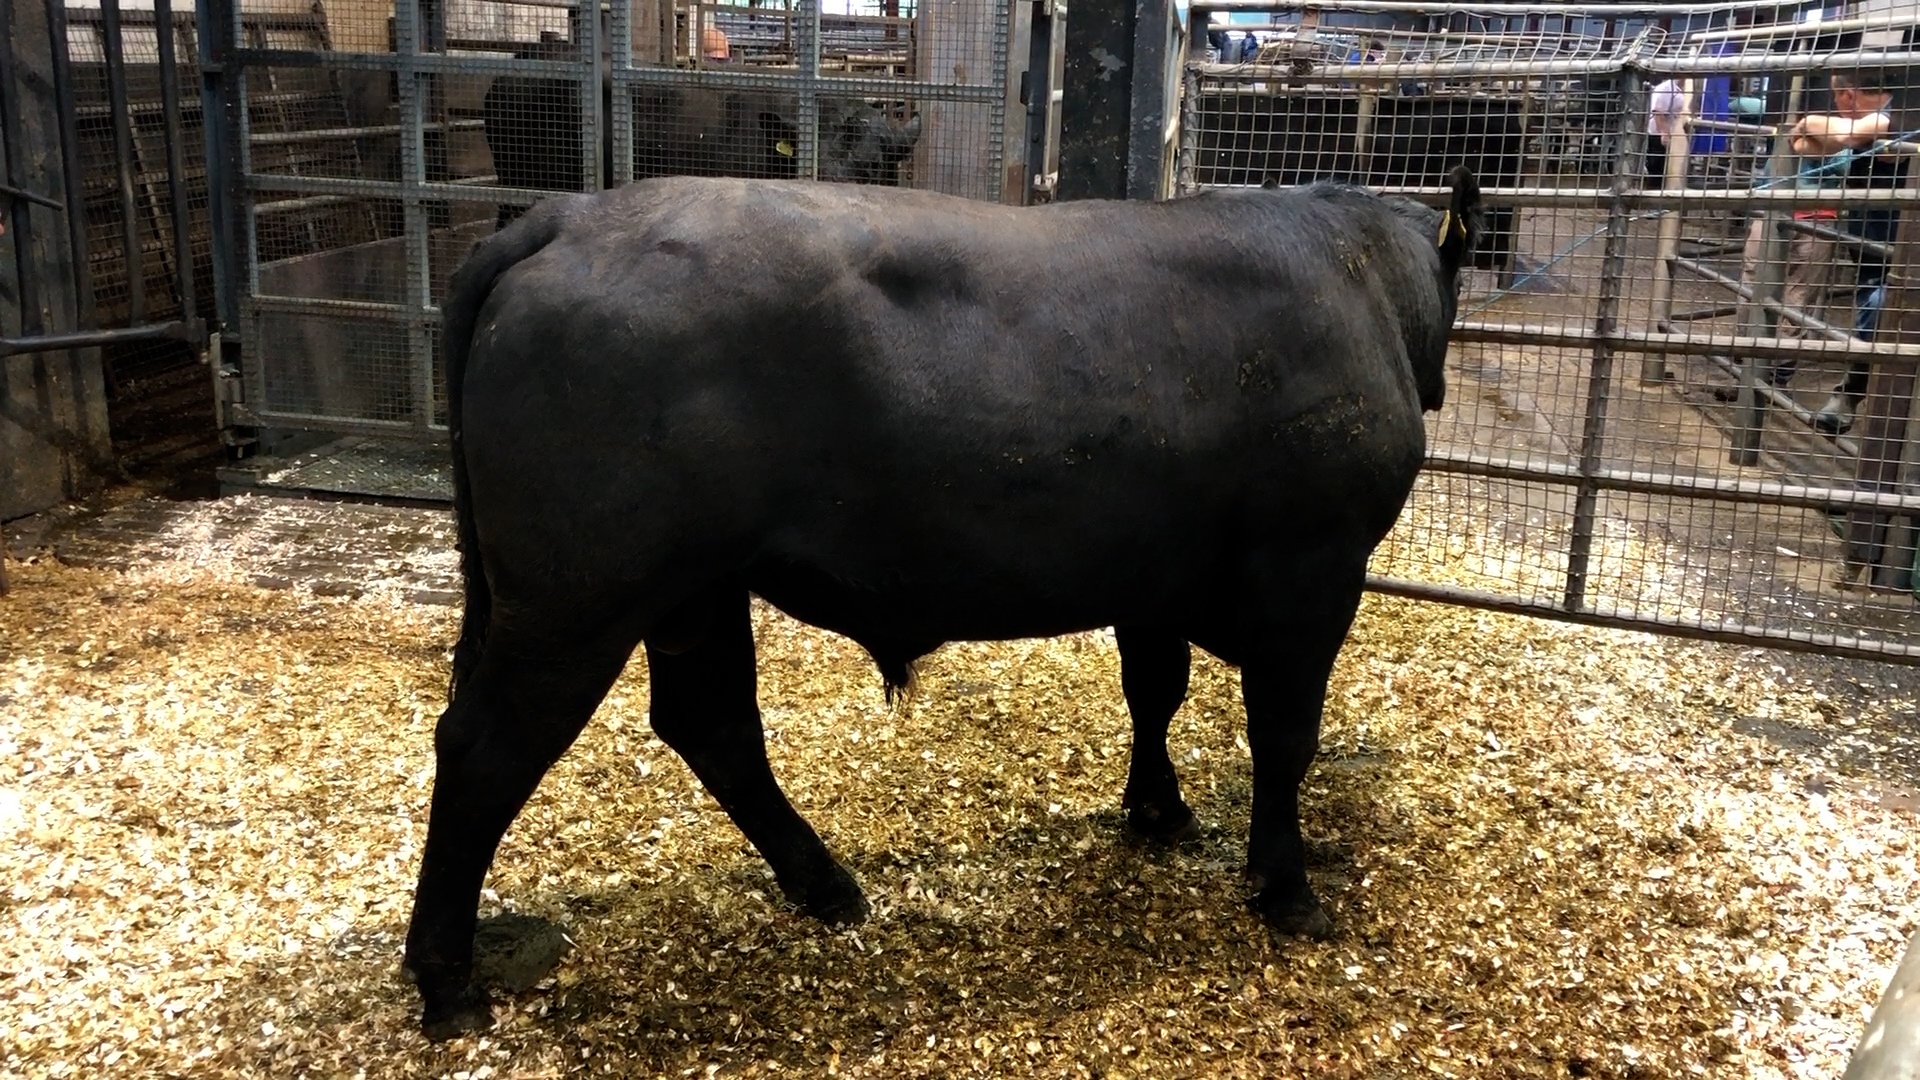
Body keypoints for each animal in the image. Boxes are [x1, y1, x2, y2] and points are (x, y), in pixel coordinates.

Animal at [402, 168, 1483, 1039]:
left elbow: (1154, 689)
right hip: (579, 597)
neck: (1359, 272)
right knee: (485, 750)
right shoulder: (1313, 562)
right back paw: (446, 983)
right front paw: (1288, 888)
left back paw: (826, 885)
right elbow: (1284, 733)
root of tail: (568, 216)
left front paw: (1157, 811)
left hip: (692, 586)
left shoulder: (1155, 568)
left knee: (711, 724)